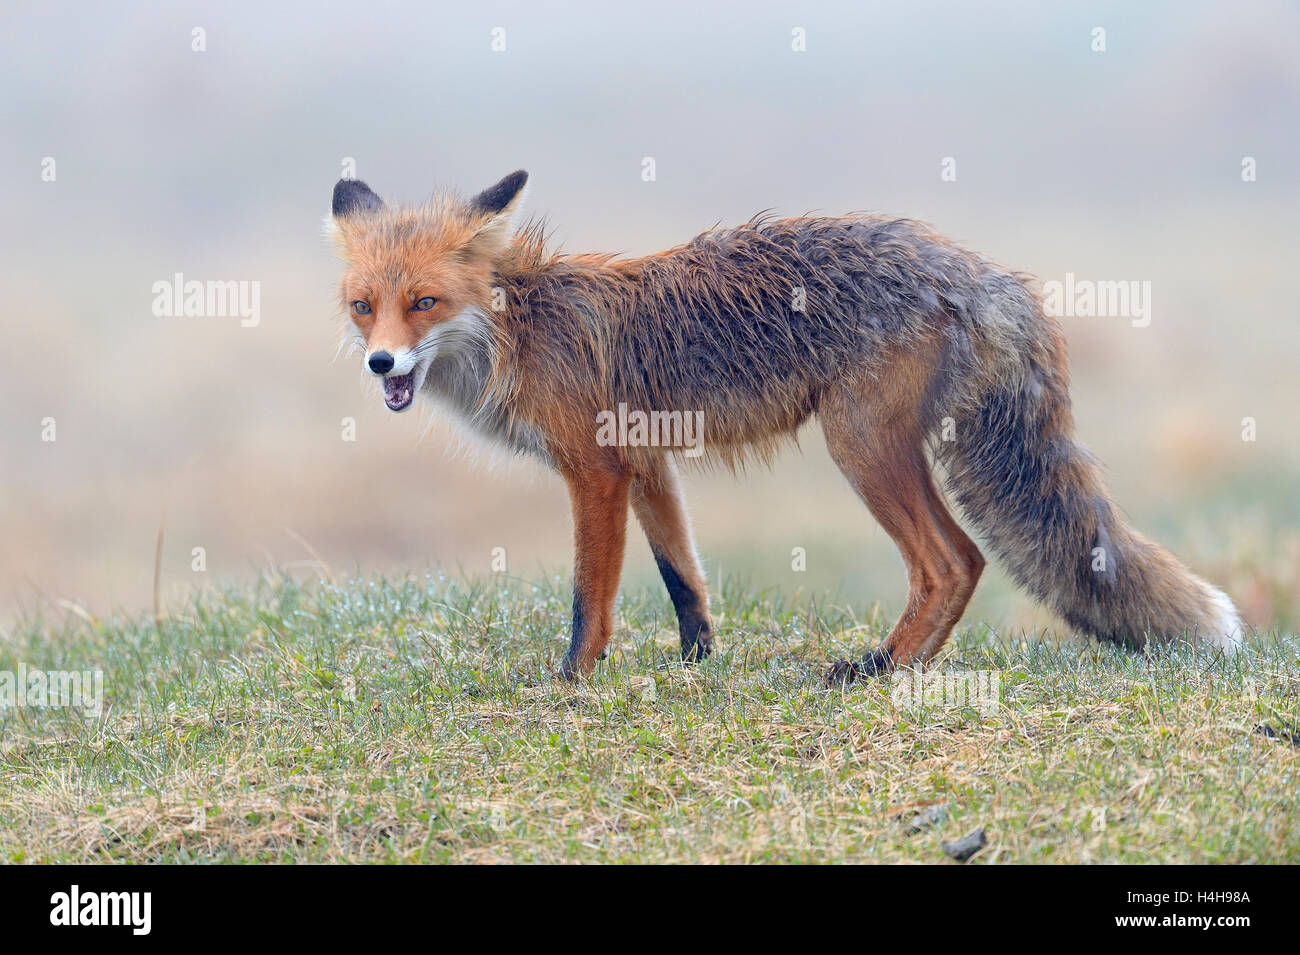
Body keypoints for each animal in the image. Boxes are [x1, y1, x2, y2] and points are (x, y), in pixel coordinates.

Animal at [326, 169, 1243, 682]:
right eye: (364, 306)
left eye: (424, 302)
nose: (380, 364)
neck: (518, 330)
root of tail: (979, 271)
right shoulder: (649, 465)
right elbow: (685, 581)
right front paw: (698, 667)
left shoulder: (596, 471)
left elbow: (592, 599)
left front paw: (568, 683)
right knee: (964, 561)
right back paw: (899, 665)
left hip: (860, 446)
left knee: (953, 560)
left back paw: (878, 670)